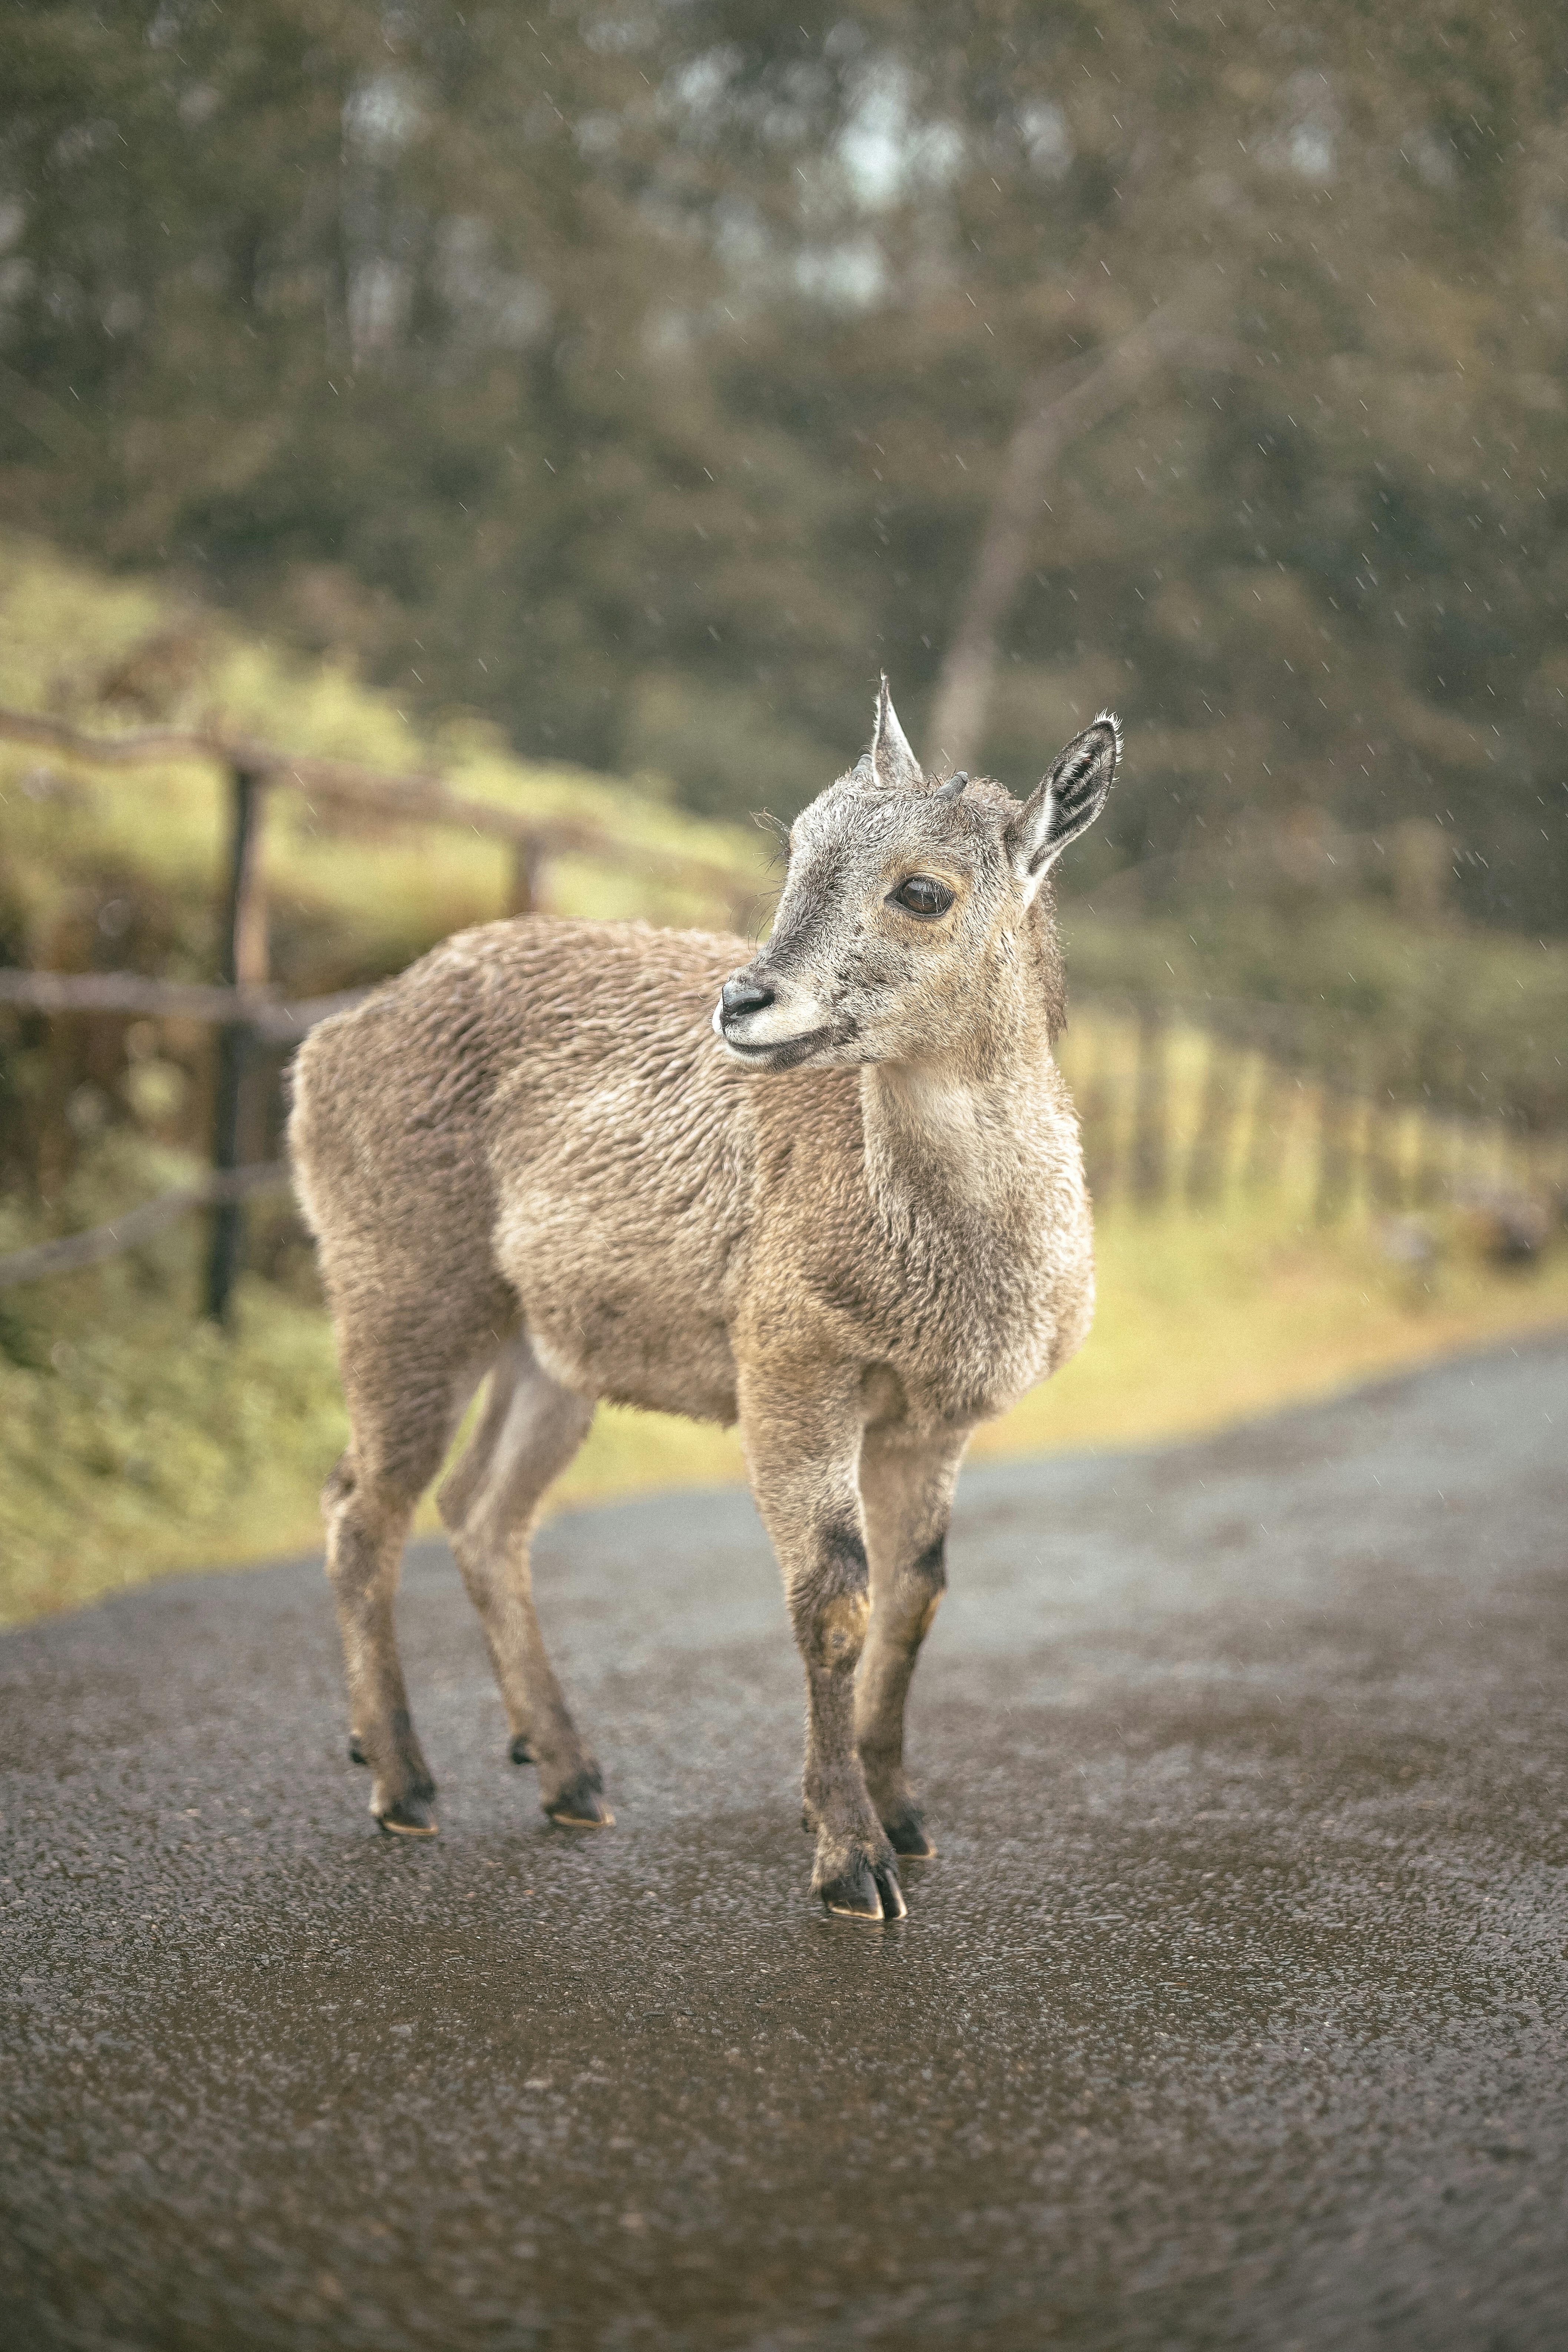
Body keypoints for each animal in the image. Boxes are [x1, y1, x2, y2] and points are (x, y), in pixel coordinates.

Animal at [288, 681, 1118, 1920]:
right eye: (798, 849)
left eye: (923, 889)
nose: (744, 1001)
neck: (941, 1260)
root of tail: (322, 1049)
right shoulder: (789, 1362)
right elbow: (832, 1592)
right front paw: (849, 1860)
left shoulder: (936, 1415)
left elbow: (917, 1592)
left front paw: (905, 1816)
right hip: (402, 1285)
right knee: (363, 1506)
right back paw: (403, 1781)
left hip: (549, 1350)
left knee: (482, 1511)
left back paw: (570, 1775)